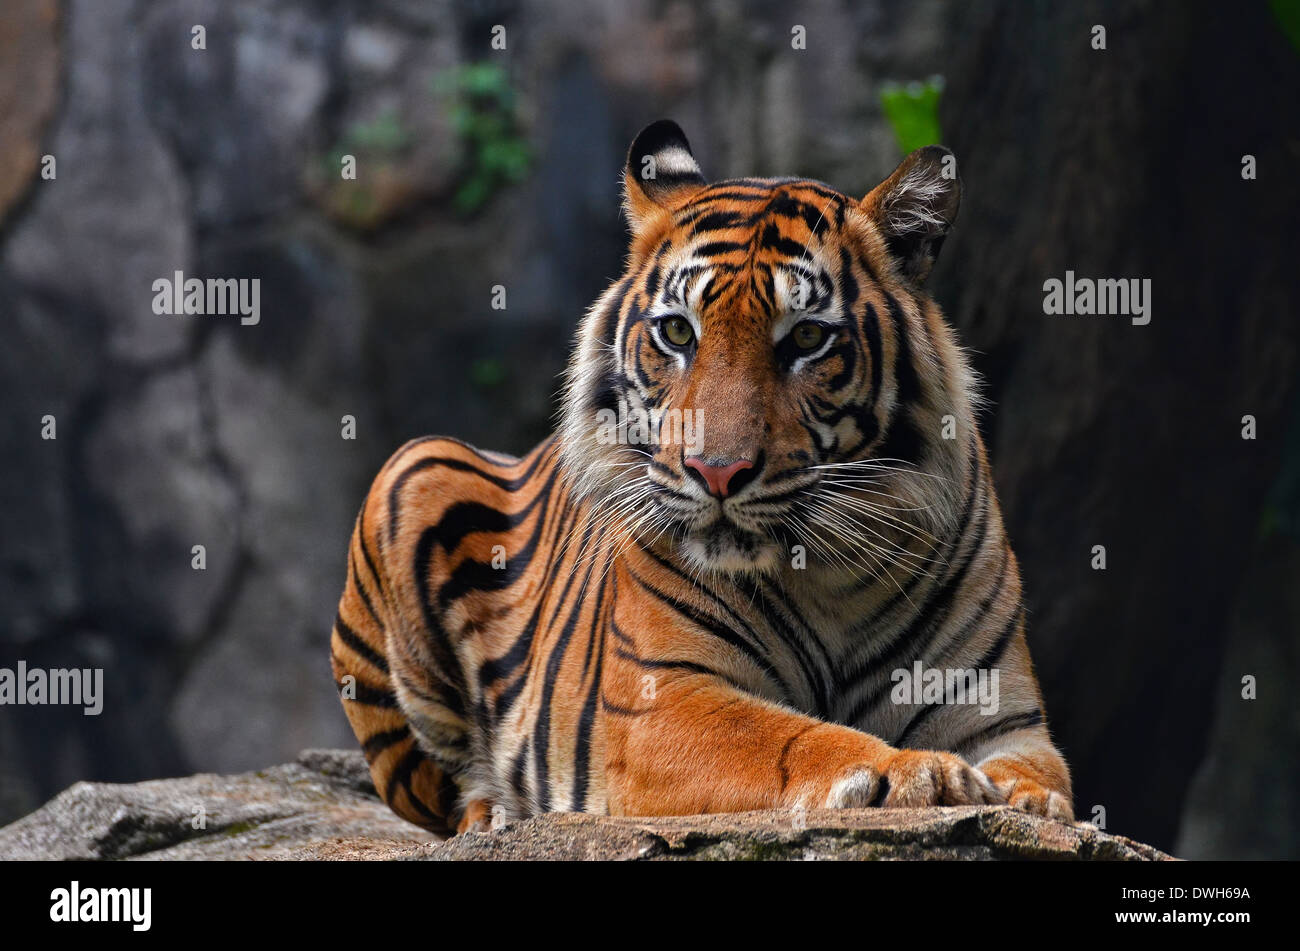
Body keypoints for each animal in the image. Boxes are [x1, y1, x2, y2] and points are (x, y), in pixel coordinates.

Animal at [330, 120, 1073, 836]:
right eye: (678, 333)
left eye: (807, 339)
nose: (717, 473)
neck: (834, 578)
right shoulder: (661, 698)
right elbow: (785, 736)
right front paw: (916, 772)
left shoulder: (1002, 716)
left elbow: (1043, 778)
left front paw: (1030, 803)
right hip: (414, 469)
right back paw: (495, 812)